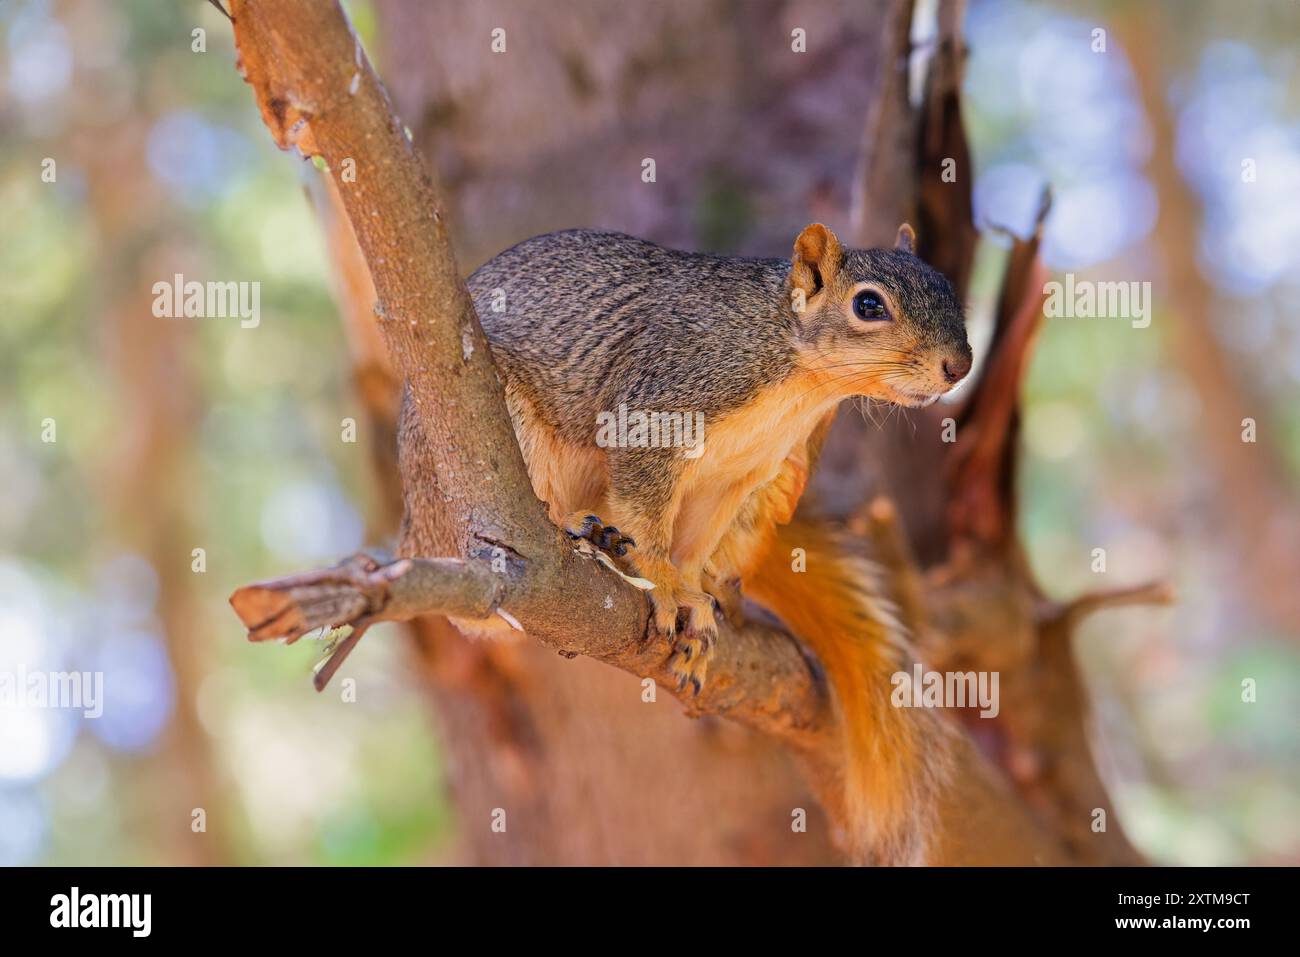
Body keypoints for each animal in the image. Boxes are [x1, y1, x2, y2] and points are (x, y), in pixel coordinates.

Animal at [453, 221, 972, 864]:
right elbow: (647, 510)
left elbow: (695, 543)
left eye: (949, 288)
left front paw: (692, 594)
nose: (960, 366)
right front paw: (664, 587)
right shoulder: (661, 404)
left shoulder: (737, 476)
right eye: (869, 305)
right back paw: (579, 529)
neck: (796, 375)